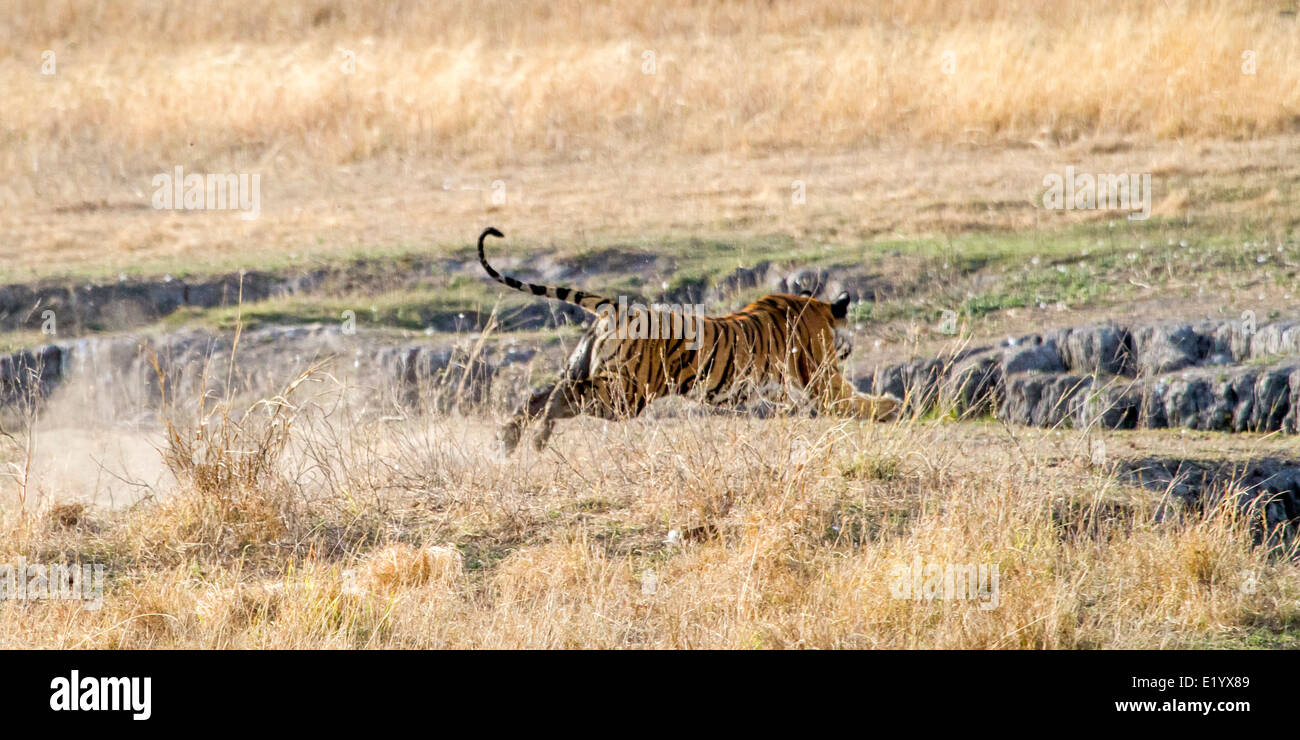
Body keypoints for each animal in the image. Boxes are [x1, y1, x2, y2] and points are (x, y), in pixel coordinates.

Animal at [476, 227, 900, 454]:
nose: (850, 350)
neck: (820, 310)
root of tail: (617, 308)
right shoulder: (822, 380)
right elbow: (855, 401)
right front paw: (893, 408)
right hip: (625, 395)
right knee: (560, 398)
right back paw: (535, 438)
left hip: (589, 371)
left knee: (541, 394)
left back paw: (508, 440)